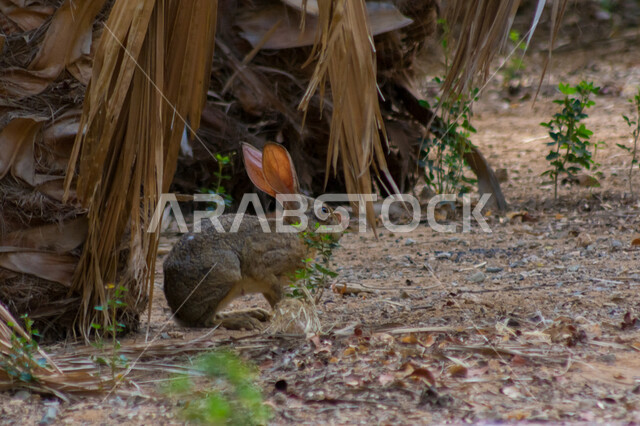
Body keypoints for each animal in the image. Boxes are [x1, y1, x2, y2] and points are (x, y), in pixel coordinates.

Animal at [163, 142, 343, 329]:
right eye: (324, 210)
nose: (339, 232)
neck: (296, 231)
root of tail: (177, 311)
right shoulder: (266, 267)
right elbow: (278, 293)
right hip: (227, 273)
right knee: (207, 321)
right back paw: (245, 321)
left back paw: (254, 313)